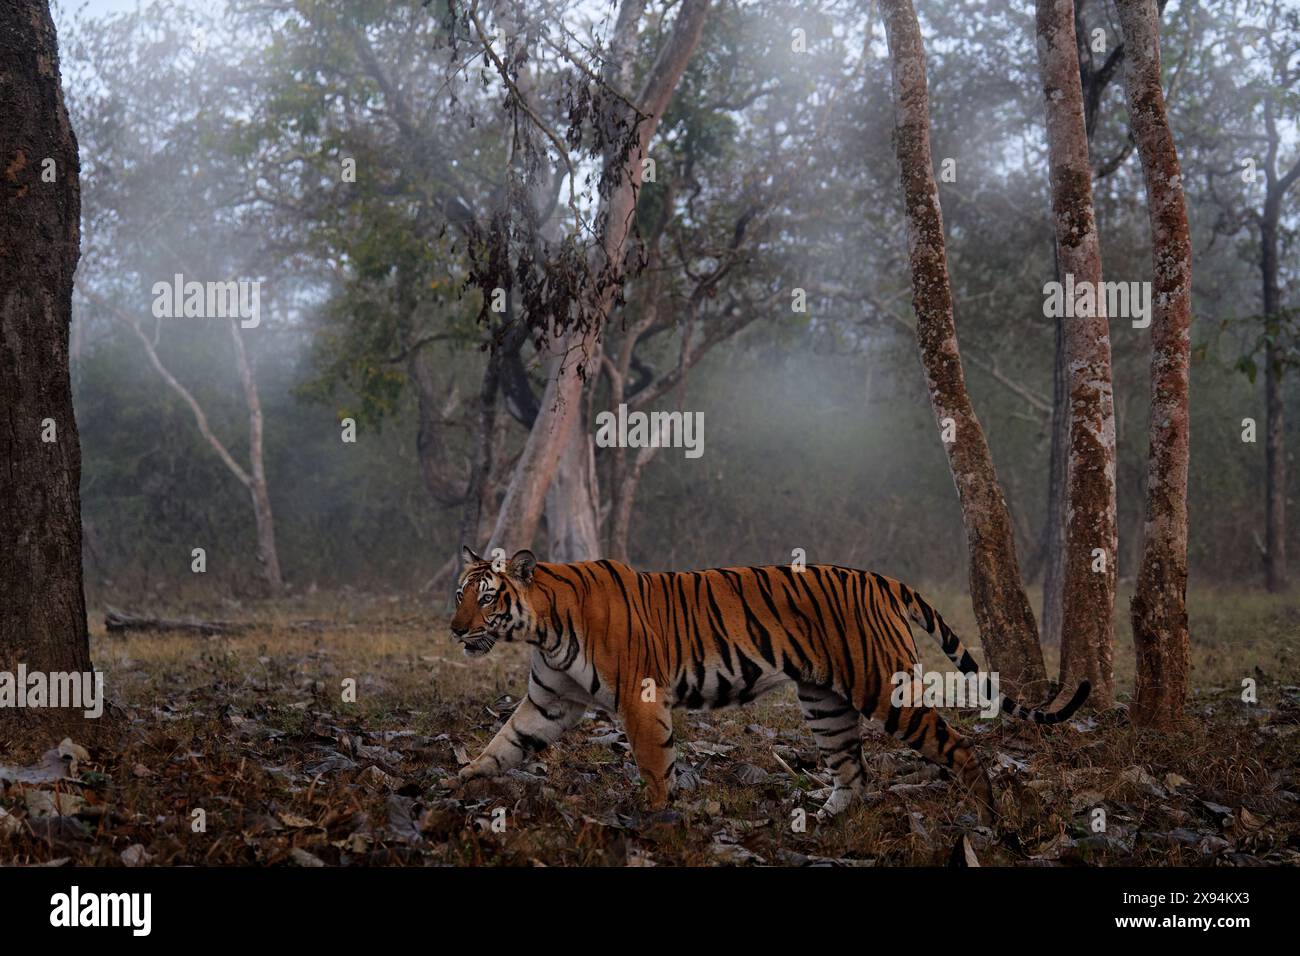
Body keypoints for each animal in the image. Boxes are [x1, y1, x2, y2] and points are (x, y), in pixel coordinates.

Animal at [448, 547, 1088, 822]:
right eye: (459, 593)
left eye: (487, 598)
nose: (455, 631)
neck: (542, 625)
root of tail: (880, 578)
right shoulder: (549, 702)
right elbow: (501, 746)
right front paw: (456, 785)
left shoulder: (639, 697)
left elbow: (655, 764)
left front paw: (657, 816)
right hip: (825, 703)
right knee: (854, 773)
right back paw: (823, 822)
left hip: (888, 691)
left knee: (960, 747)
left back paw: (988, 820)